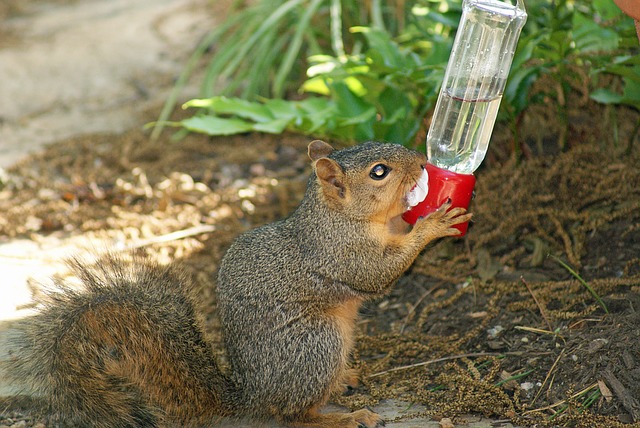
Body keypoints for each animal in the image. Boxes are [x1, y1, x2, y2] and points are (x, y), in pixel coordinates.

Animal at [7, 140, 472, 428]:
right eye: (379, 172)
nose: (420, 161)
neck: (337, 216)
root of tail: (252, 396)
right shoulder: (341, 253)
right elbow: (378, 274)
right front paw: (431, 225)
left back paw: (346, 379)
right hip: (316, 343)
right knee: (293, 416)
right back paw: (345, 417)